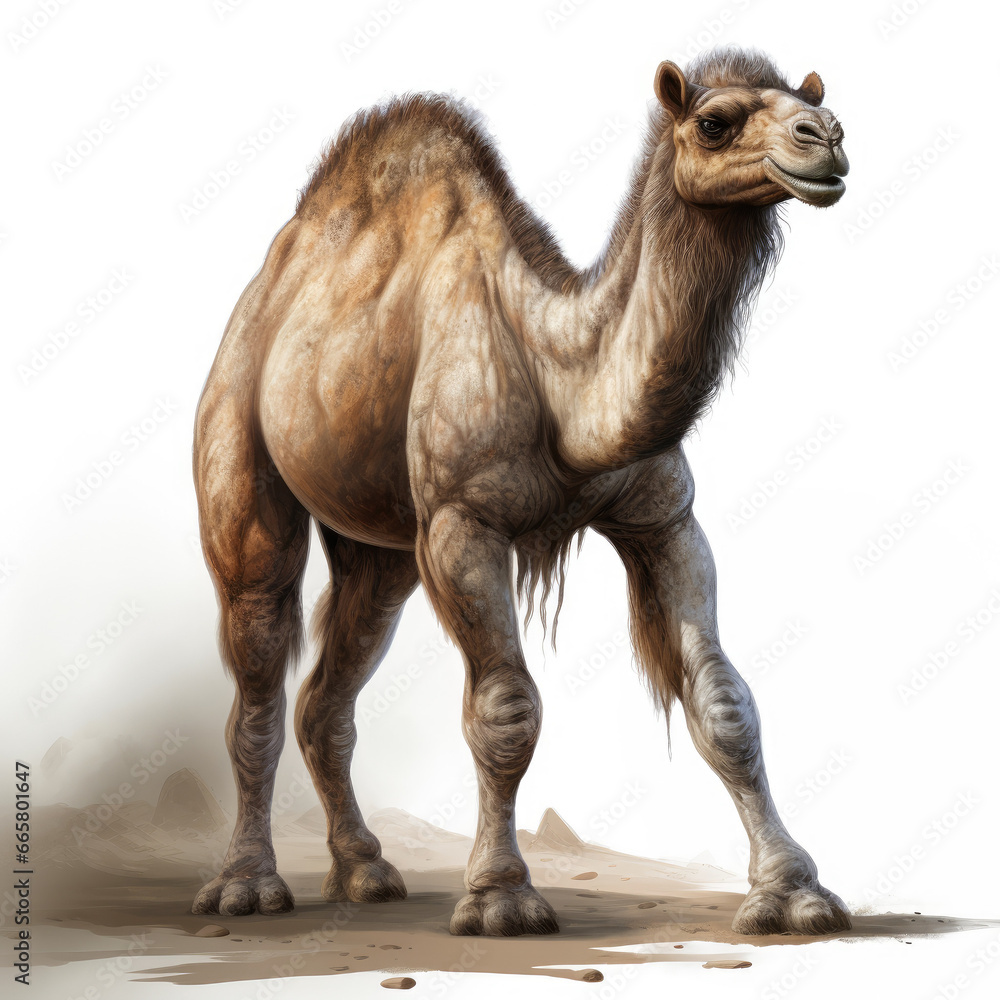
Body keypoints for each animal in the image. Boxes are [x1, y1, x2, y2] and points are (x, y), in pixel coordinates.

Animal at [192, 47, 852, 938]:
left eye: (808, 99)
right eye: (714, 122)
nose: (828, 137)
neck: (559, 377)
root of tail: (266, 291)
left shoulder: (664, 519)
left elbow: (725, 702)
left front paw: (793, 892)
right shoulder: (462, 524)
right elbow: (506, 710)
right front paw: (500, 897)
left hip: (381, 548)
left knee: (328, 692)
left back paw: (365, 872)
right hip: (238, 441)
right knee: (256, 672)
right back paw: (246, 886)